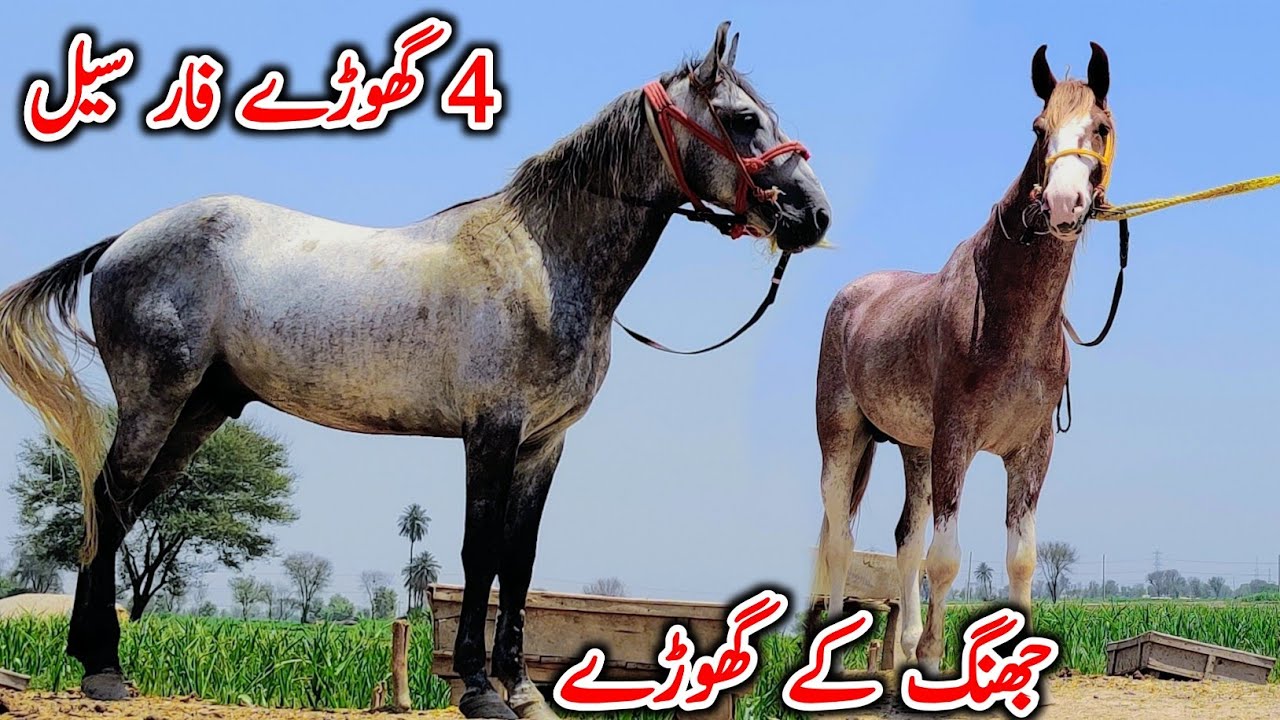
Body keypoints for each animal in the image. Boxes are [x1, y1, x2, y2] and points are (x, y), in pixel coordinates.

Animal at [0, 22, 830, 719]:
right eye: (743, 120)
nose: (812, 216)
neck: (542, 262)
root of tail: (122, 241)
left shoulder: (545, 444)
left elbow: (519, 563)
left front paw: (520, 688)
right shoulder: (491, 434)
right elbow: (479, 551)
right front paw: (479, 689)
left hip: (200, 411)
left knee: (121, 509)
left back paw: (92, 658)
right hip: (155, 400)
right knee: (108, 502)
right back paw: (103, 669)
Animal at [814, 43, 1113, 672]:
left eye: (1099, 126)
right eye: (1038, 128)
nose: (1063, 203)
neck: (1011, 318)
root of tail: (852, 295)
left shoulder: (1030, 451)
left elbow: (1020, 559)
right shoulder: (957, 439)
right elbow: (946, 558)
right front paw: (931, 654)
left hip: (915, 452)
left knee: (905, 540)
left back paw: (902, 651)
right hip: (842, 438)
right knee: (840, 540)